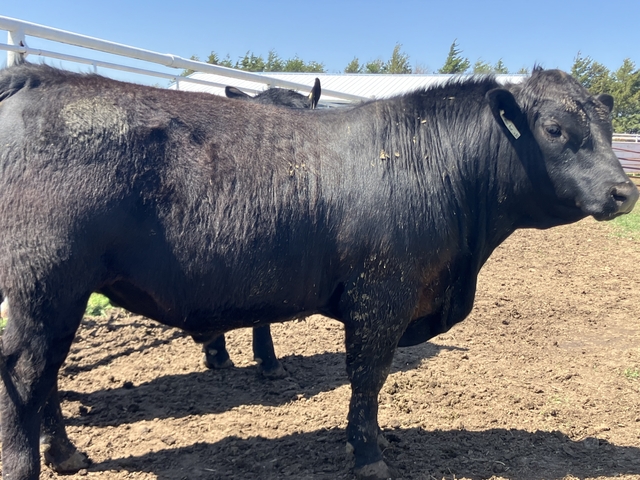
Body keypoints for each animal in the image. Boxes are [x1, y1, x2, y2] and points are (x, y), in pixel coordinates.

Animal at [0, 63, 636, 480]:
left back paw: (66, 454)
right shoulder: (381, 295)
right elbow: (368, 376)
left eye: (607, 130)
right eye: (554, 129)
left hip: (57, 296)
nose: (623, 191)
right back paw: (30, 463)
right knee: (25, 373)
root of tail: (39, 77)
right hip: (47, 282)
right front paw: (369, 455)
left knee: (44, 373)